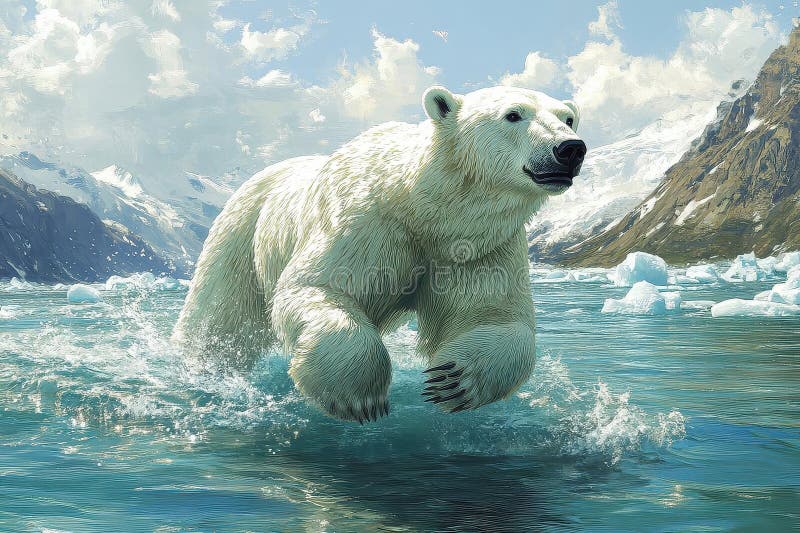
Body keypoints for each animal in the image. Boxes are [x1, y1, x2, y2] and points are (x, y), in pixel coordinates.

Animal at [173, 85, 586, 423]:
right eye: (513, 114)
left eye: (567, 118)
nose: (570, 149)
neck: (423, 209)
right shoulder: (366, 227)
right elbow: (318, 287)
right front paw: (358, 398)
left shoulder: (475, 247)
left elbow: (494, 315)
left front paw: (452, 379)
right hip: (242, 233)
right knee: (220, 317)